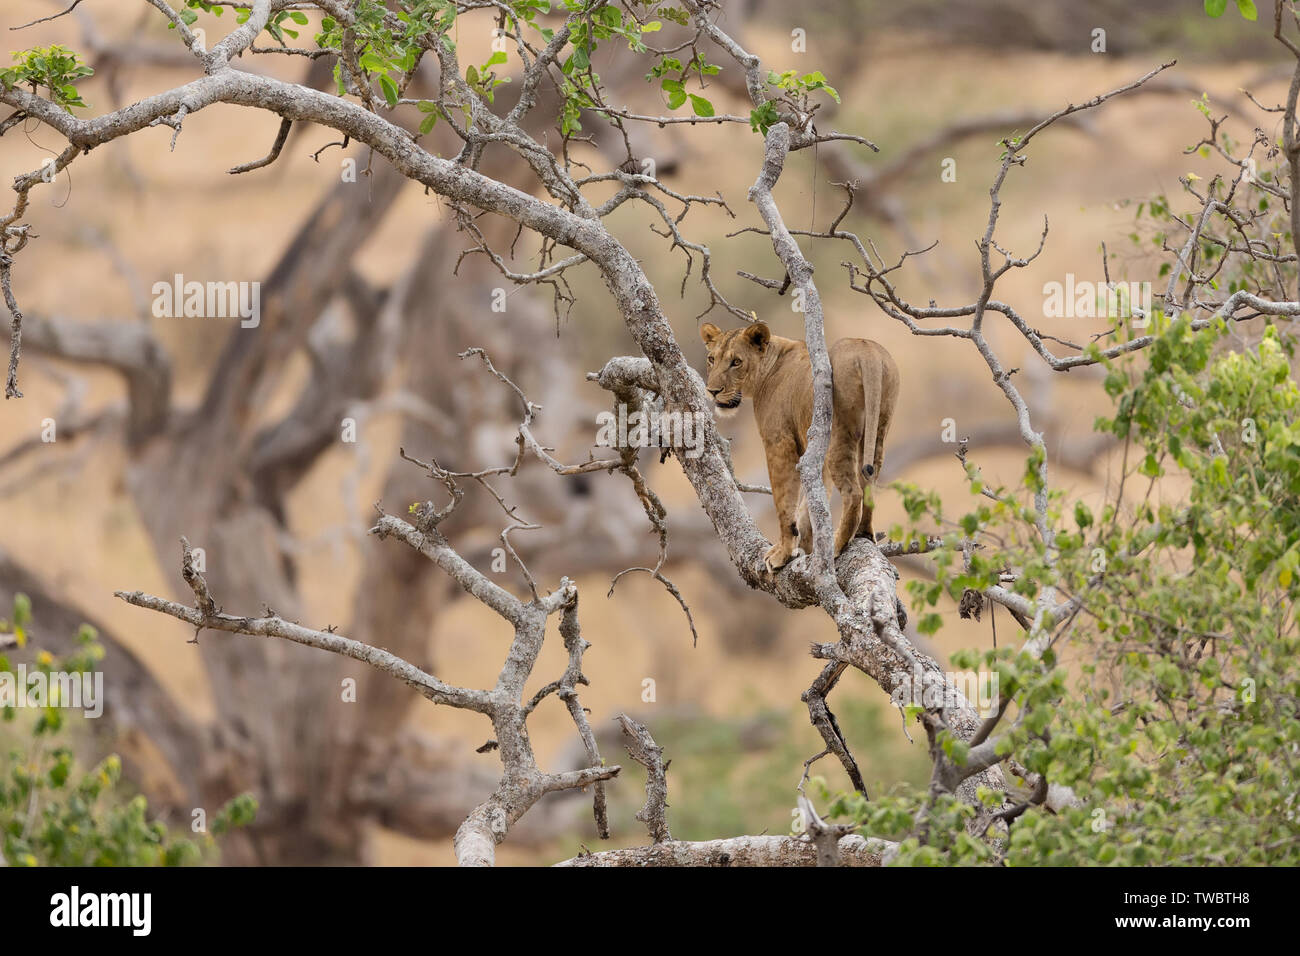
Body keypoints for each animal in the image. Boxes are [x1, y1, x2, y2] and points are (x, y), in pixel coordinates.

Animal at [700, 321, 900, 573]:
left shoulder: (779, 442)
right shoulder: (813, 454)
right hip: (879, 428)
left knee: (853, 493)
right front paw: (804, 546)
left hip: (838, 432)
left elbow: (785, 503)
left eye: (736, 361)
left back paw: (836, 545)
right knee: (869, 483)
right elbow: (809, 504)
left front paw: (782, 554)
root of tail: (867, 352)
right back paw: (863, 535)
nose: (712, 391)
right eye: (711, 359)